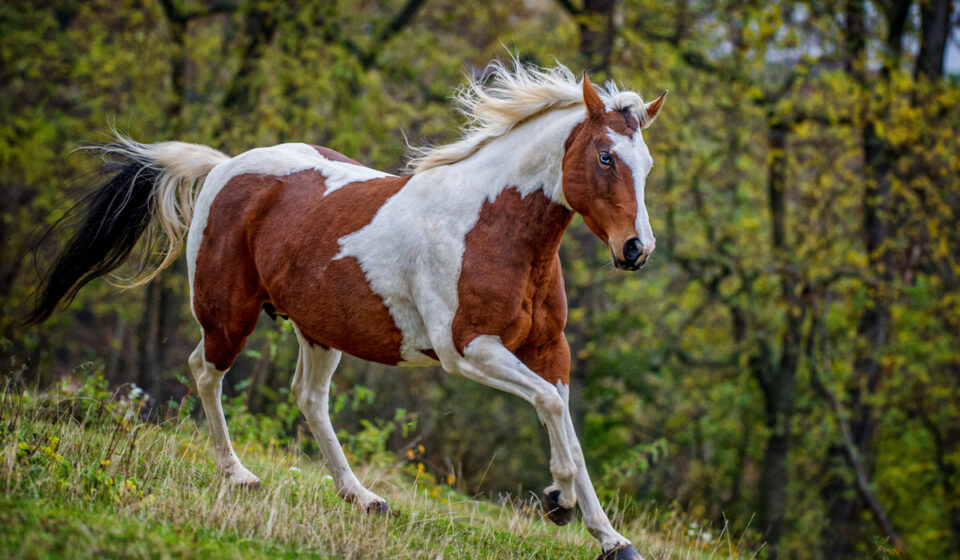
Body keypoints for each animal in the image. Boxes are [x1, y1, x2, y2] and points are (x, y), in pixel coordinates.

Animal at [25, 61, 666, 560]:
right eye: (605, 156)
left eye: (647, 165)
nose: (637, 250)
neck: (489, 225)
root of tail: (224, 166)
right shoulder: (466, 349)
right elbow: (551, 407)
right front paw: (560, 501)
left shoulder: (548, 349)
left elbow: (563, 420)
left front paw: (607, 535)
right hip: (228, 313)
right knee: (205, 372)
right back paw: (241, 476)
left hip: (320, 328)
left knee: (308, 398)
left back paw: (364, 497)